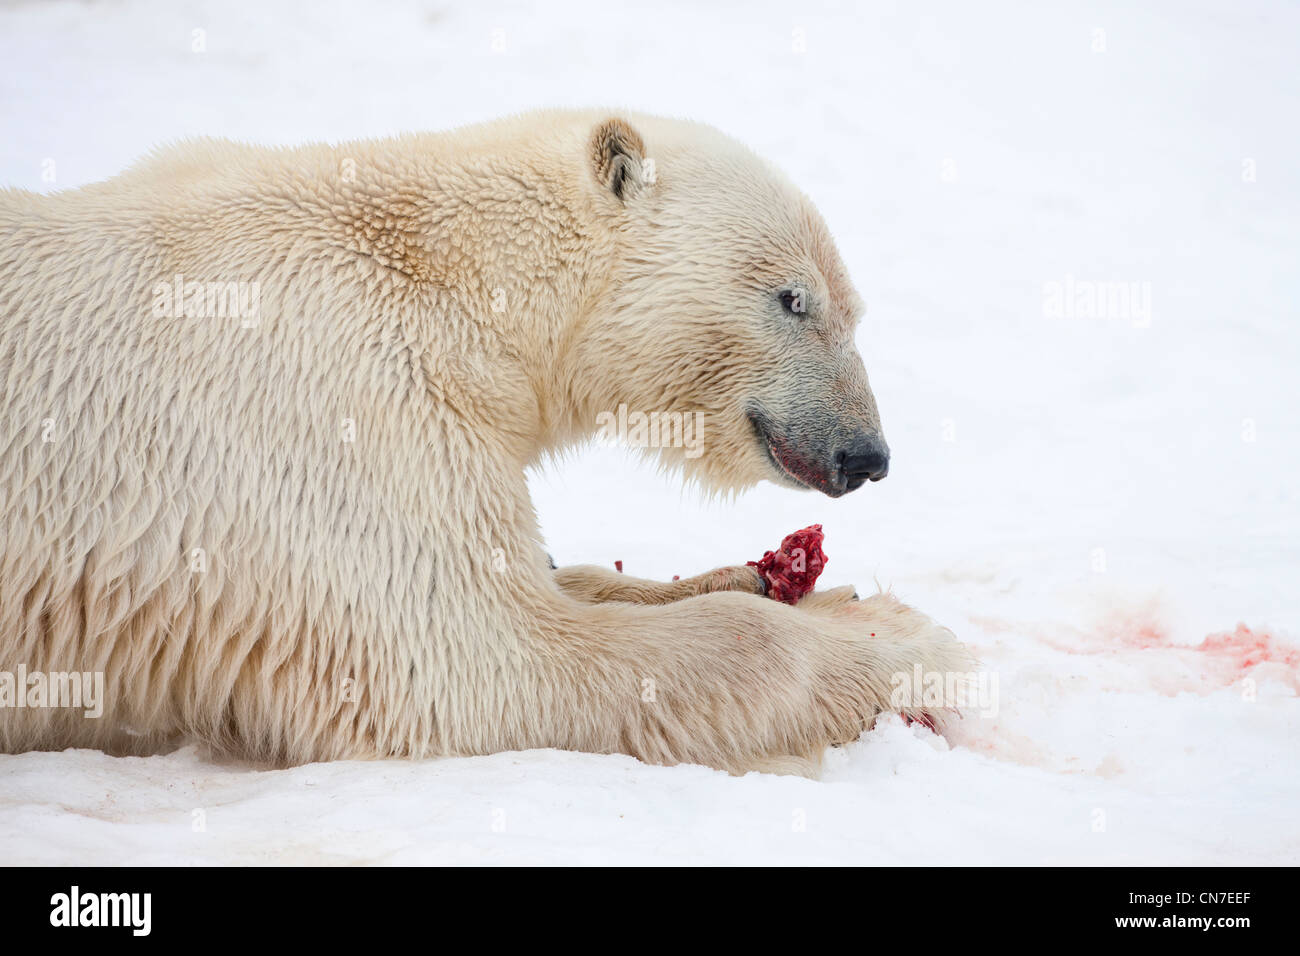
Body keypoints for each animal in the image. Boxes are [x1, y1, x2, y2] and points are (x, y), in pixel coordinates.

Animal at [0, 110, 973, 776]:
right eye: (792, 298)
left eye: (854, 309)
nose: (866, 454)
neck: (444, 273)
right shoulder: (338, 411)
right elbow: (482, 665)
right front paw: (910, 646)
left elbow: (556, 578)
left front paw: (786, 582)